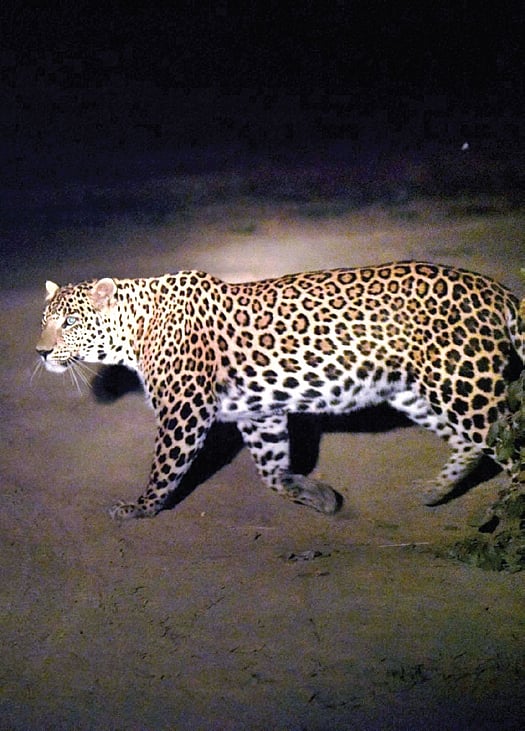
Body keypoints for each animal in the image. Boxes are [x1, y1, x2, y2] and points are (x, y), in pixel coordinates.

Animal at [36, 261, 524, 521]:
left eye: (71, 322)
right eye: (44, 319)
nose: (40, 352)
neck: (133, 330)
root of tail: (496, 289)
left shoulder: (185, 410)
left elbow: (165, 467)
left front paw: (140, 508)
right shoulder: (259, 412)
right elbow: (270, 469)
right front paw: (311, 493)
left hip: (462, 384)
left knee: (509, 442)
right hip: (417, 391)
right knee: (473, 443)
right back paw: (434, 491)